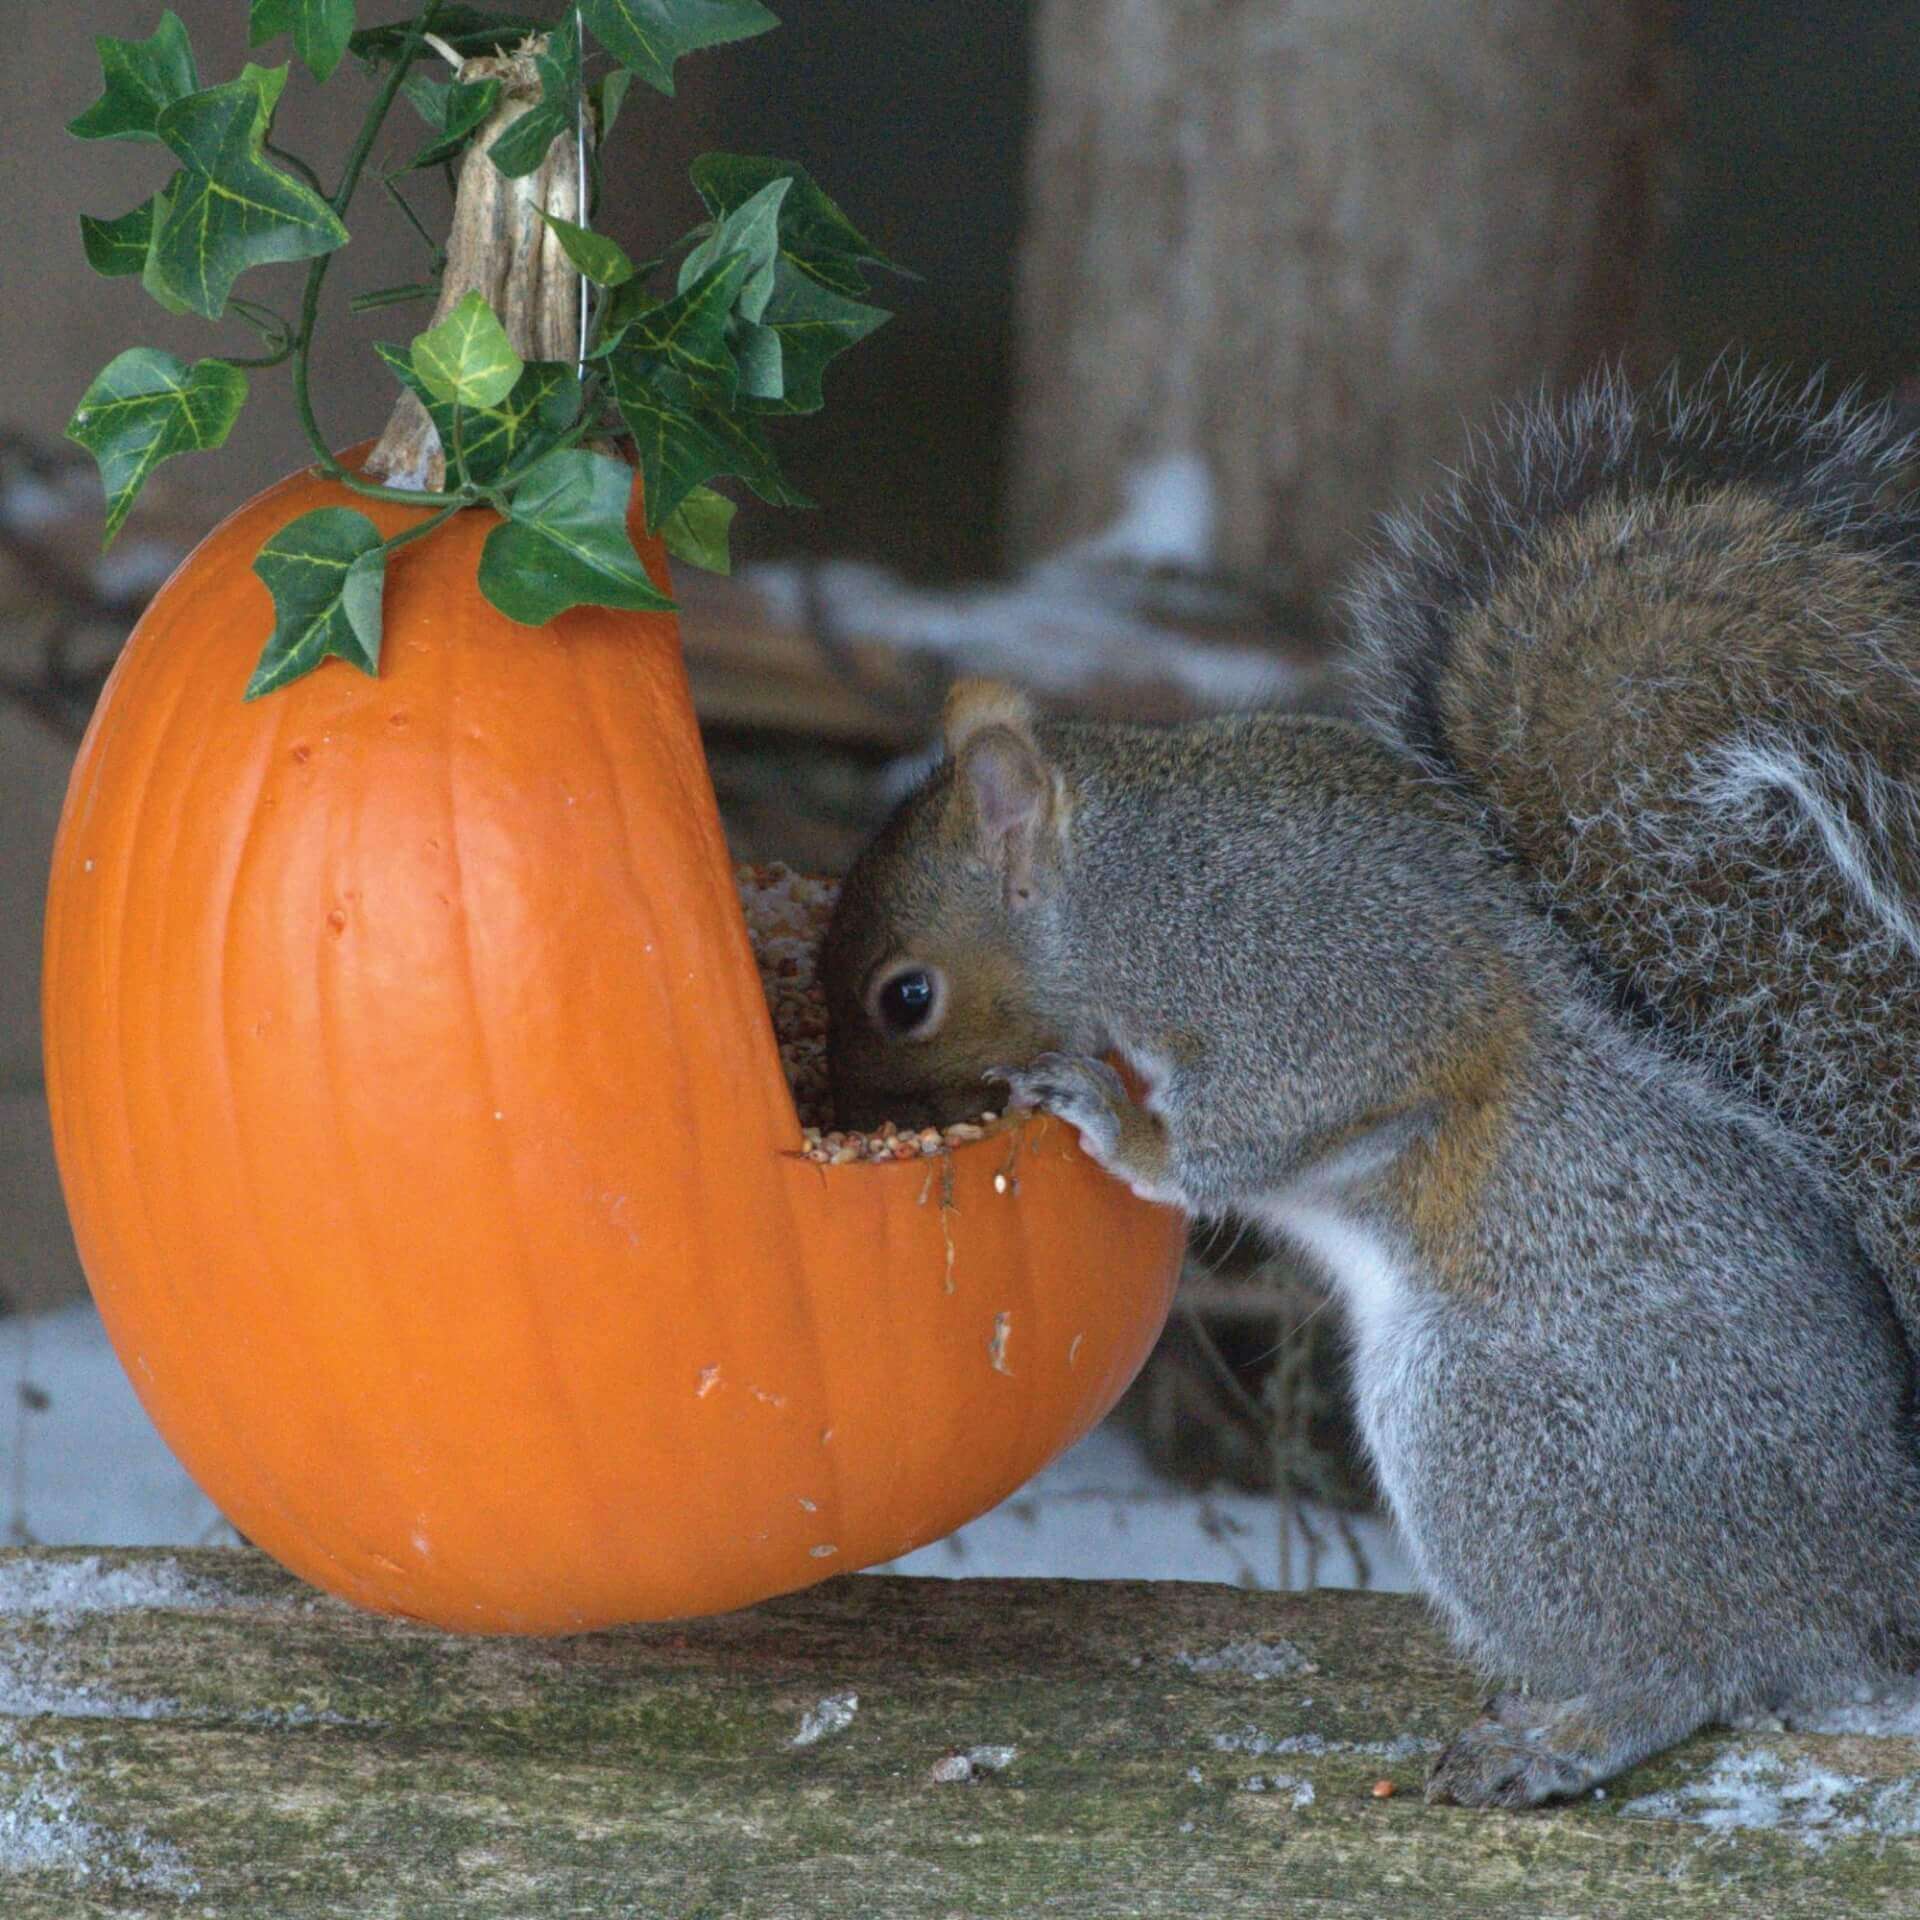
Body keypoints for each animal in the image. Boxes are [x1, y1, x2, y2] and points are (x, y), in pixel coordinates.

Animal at [819, 367, 1920, 1808]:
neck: (1123, 892)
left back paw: (1570, 1734)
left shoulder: (1320, 997)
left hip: (1497, 1440)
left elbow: (1247, 1132)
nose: (845, 1116)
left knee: (1696, 1667)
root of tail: (1867, 1583)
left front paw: (1117, 1129)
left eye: (907, 997)